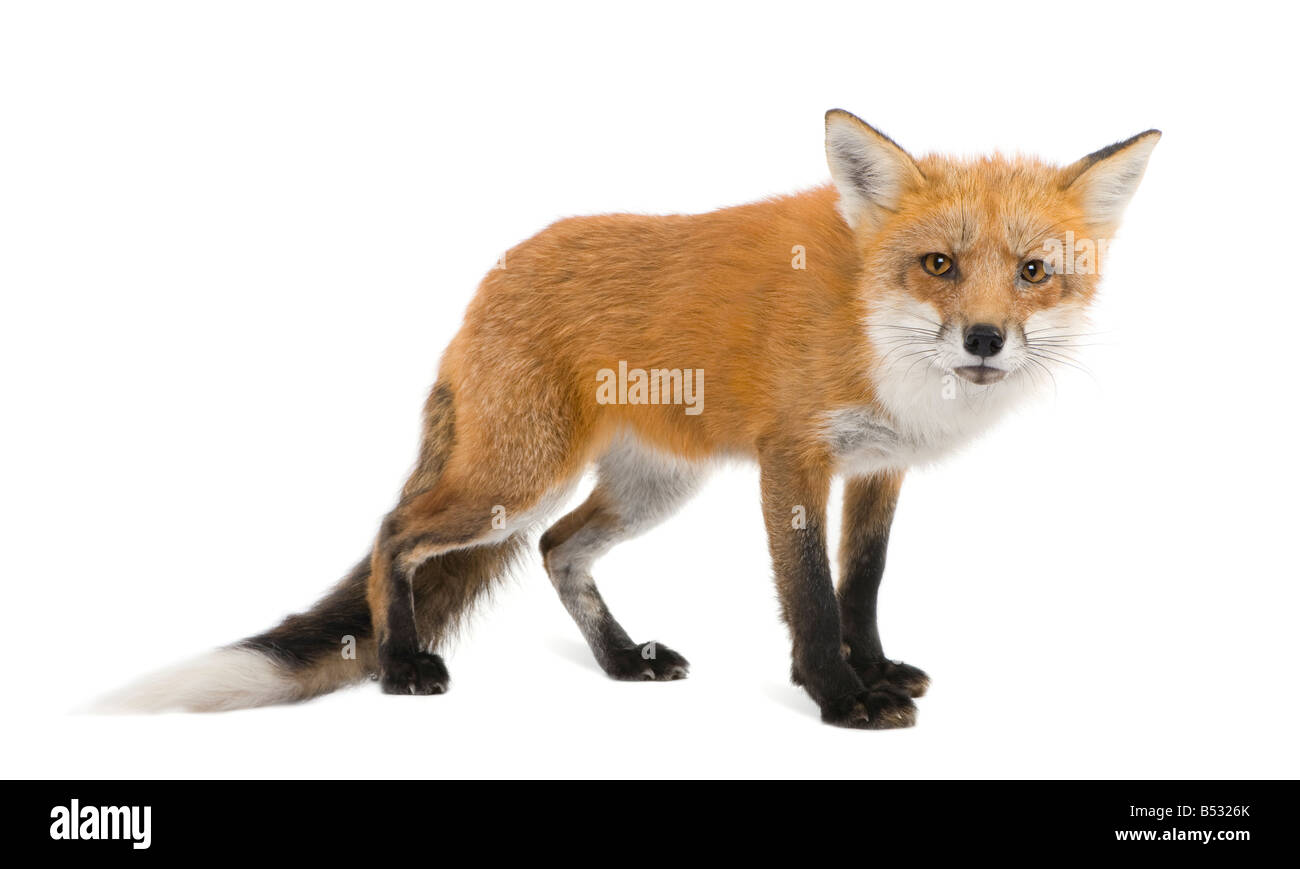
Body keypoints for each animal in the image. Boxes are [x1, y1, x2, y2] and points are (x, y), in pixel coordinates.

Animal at [97, 109, 1159, 728]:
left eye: (1033, 273)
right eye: (939, 264)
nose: (984, 339)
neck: (868, 319)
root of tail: (492, 279)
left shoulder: (877, 467)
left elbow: (863, 584)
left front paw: (876, 668)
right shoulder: (794, 459)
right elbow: (812, 595)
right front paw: (837, 695)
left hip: (647, 486)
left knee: (558, 549)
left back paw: (618, 660)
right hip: (512, 480)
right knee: (394, 533)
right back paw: (400, 663)